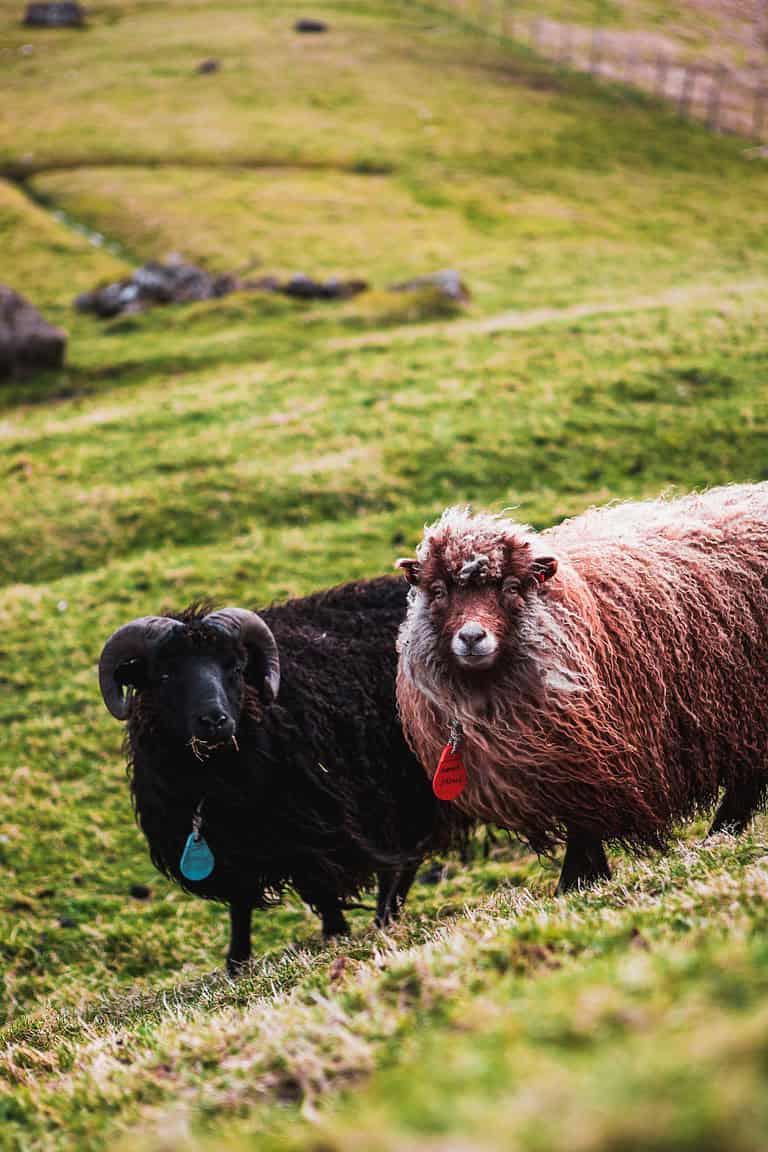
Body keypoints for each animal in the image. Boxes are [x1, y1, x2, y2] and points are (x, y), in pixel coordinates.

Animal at [98, 577, 468, 973]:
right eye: (165, 676)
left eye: (235, 668)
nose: (214, 720)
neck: (213, 778)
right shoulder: (229, 845)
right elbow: (240, 903)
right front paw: (237, 963)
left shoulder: (315, 823)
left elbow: (320, 883)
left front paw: (334, 933)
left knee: (407, 857)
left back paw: (385, 916)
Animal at [395, 484, 768, 893]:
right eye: (438, 591)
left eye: (511, 587)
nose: (472, 637)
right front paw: (582, 880)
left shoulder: (593, 758)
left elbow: (584, 827)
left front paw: (573, 883)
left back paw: (720, 833)